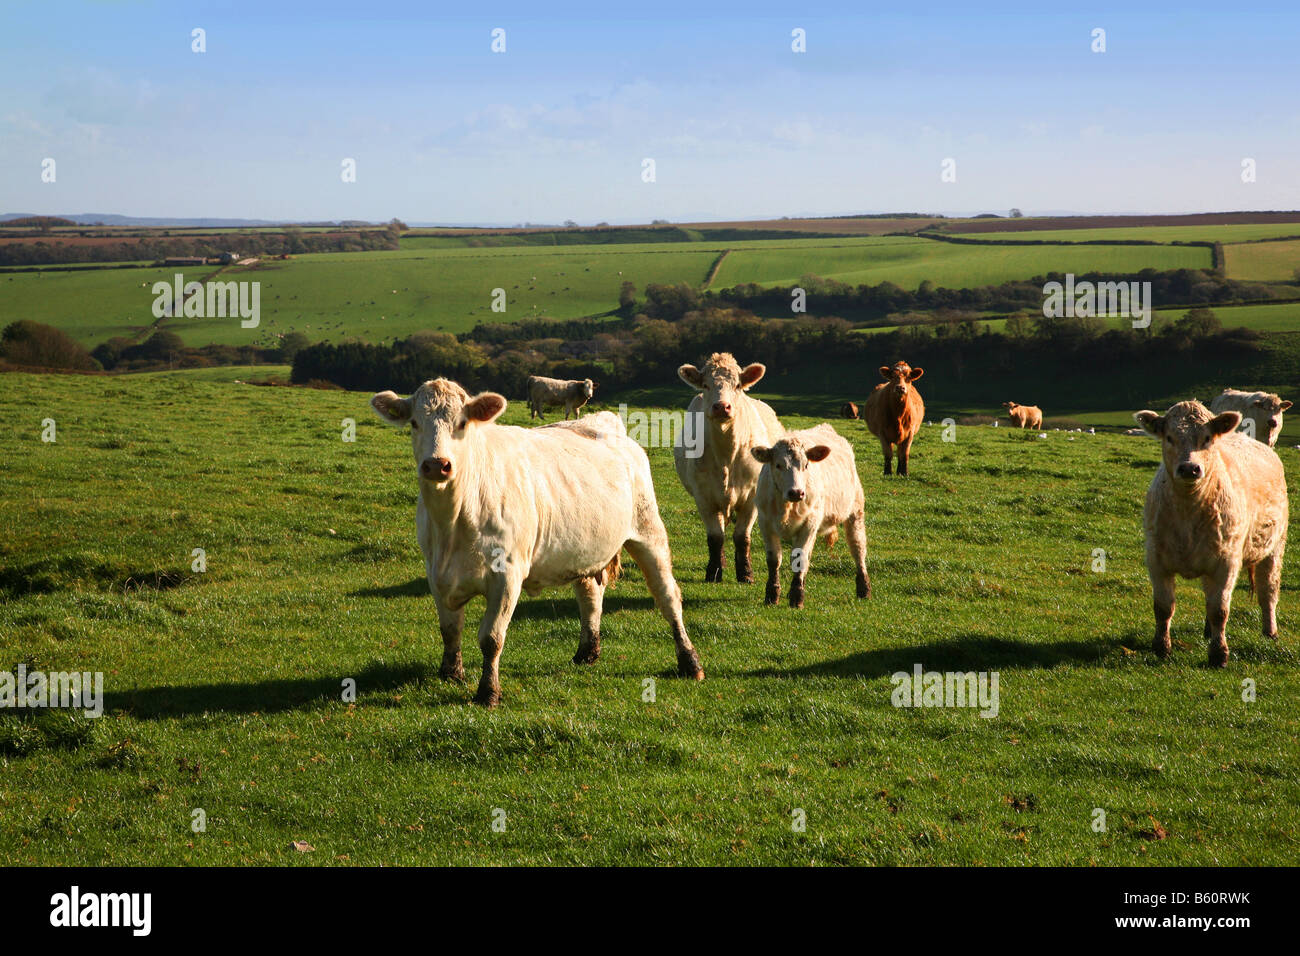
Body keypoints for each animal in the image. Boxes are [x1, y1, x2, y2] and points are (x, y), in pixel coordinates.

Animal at [370, 378, 704, 707]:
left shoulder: (508, 573)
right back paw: (587, 653)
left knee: (668, 596)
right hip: (584, 548)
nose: (437, 465)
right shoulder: (436, 572)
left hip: (648, 531)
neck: (452, 522)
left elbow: (491, 638)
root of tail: (602, 421)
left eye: (462, 423)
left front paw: (488, 692)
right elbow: (450, 629)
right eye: (414, 423)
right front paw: (451, 674)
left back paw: (690, 662)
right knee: (590, 596)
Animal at [674, 352, 783, 583]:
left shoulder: (751, 497)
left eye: (738, 385)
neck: (726, 456)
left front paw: (745, 572)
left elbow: (742, 537)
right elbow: (716, 536)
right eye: (706, 385)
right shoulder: (703, 496)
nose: (722, 406)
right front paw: (714, 571)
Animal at [751, 424, 871, 608]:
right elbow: (774, 559)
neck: (787, 507)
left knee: (858, 548)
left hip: (855, 512)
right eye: (778, 465)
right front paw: (772, 594)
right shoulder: (765, 523)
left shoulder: (809, 524)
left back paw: (864, 588)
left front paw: (797, 596)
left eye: (806, 465)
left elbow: (799, 559)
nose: (796, 492)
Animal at [1134, 400, 1288, 667]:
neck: (1188, 510)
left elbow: (1219, 610)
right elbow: (1163, 607)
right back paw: (1208, 632)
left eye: (1207, 438)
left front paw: (1219, 654)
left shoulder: (1226, 562)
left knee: (1268, 589)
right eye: (1169, 437)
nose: (1189, 468)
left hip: (1274, 547)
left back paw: (1270, 631)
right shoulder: (1156, 558)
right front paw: (1161, 647)